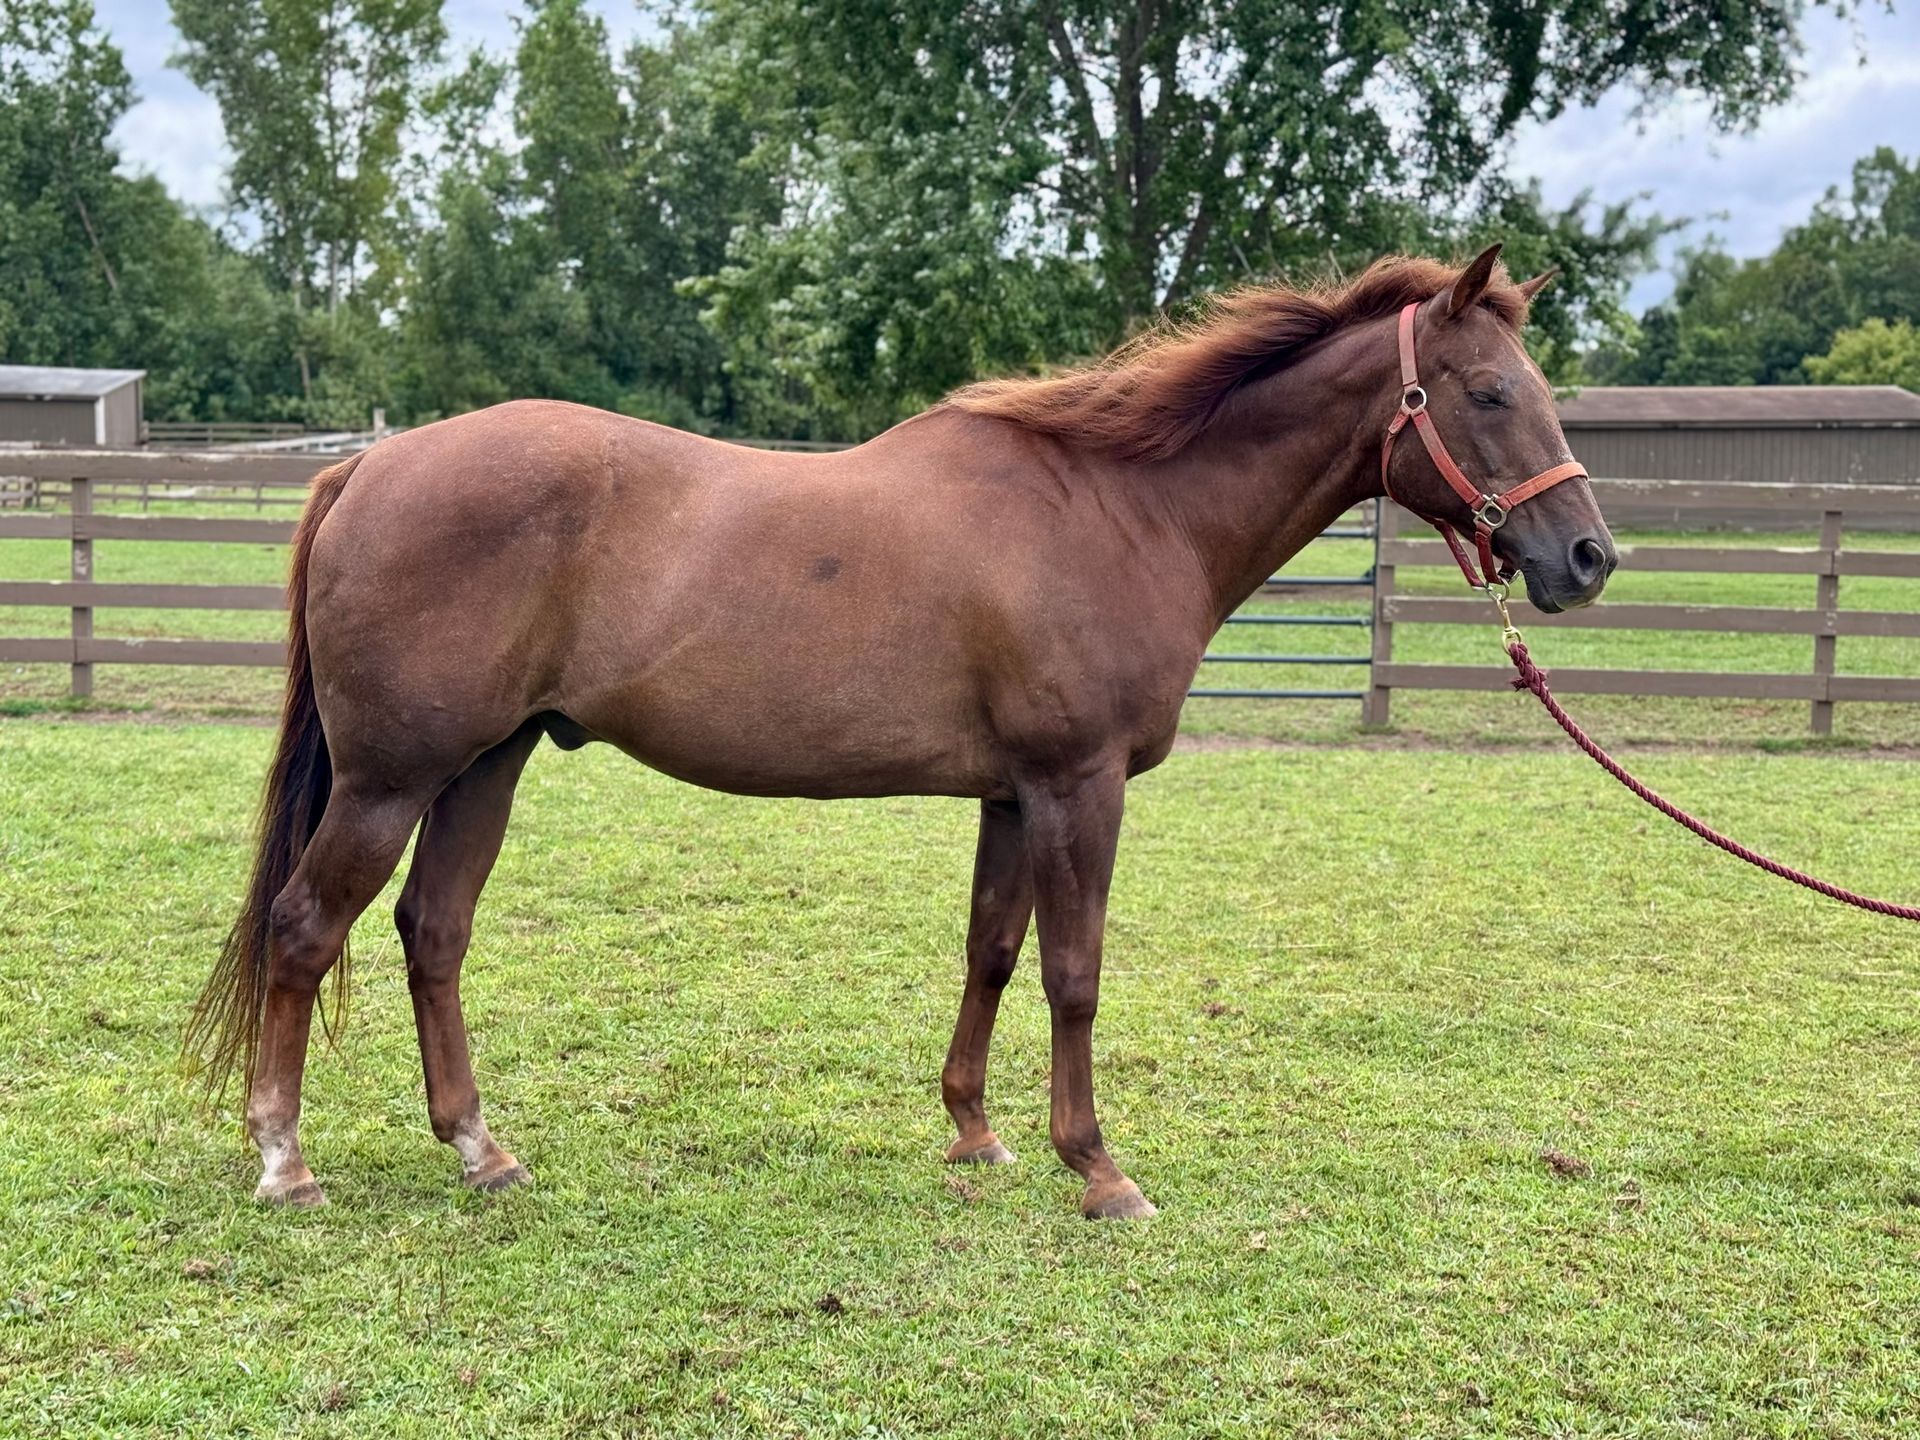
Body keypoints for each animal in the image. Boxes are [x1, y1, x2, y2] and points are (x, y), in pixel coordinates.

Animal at [186, 244, 1616, 1219]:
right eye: (1490, 394)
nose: (1588, 558)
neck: (1119, 509)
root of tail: (371, 462)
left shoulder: (1012, 795)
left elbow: (992, 953)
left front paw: (977, 1134)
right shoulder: (1079, 787)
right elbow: (1074, 972)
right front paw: (1100, 1171)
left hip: (487, 763)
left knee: (434, 933)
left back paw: (481, 1150)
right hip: (390, 779)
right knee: (306, 931)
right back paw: (286, 1162)